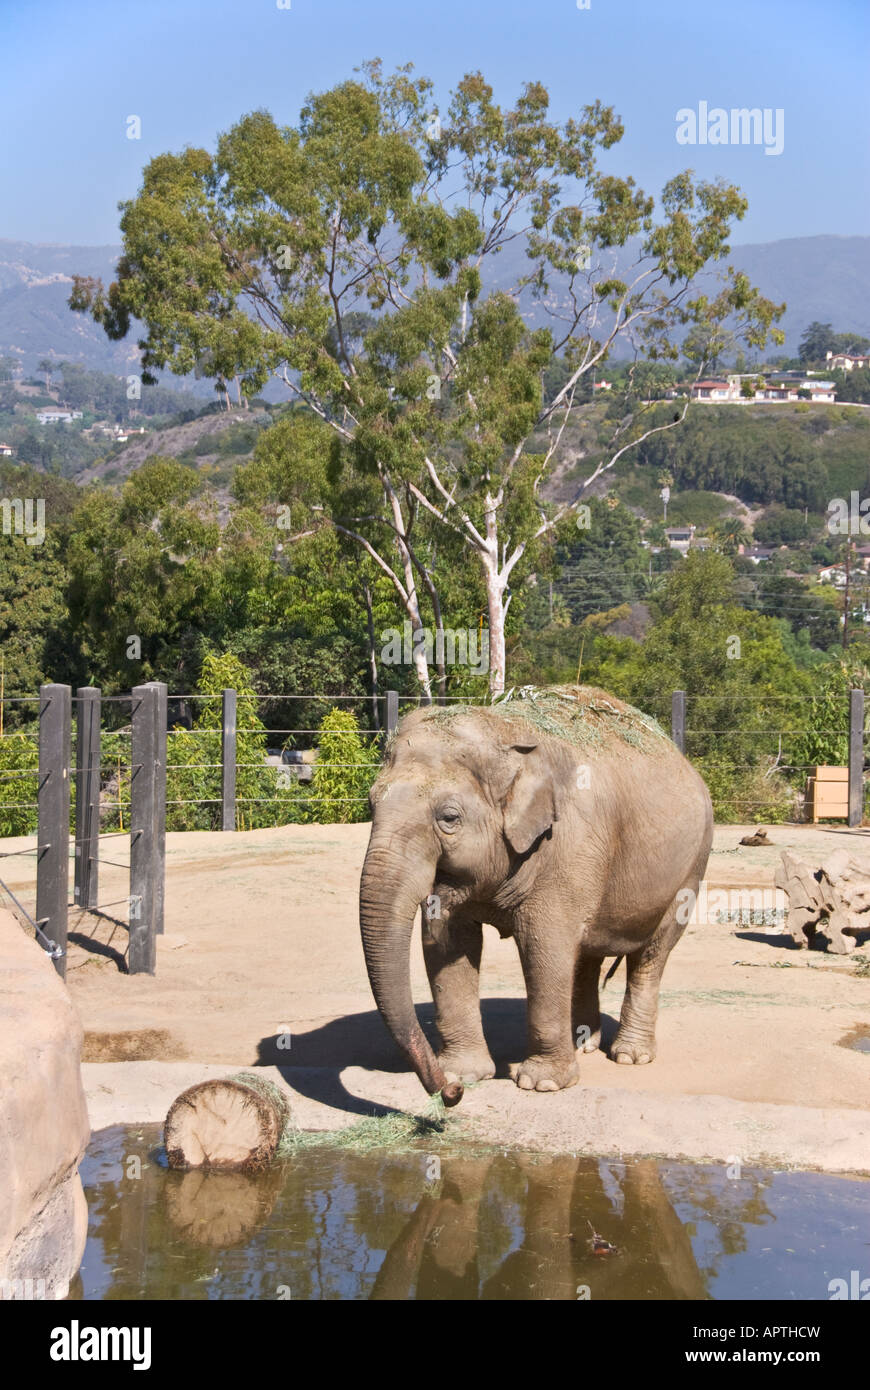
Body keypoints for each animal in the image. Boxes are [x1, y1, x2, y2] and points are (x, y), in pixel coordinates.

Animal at [358, 684, 713, 1106]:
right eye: (370, 804)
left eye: (449, 818)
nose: (450, 1094)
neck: (503, 729)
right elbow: (446, 944)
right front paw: (465, 1073)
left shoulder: (569, 845)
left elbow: (544, 945)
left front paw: (541, 1084)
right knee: (586, 953)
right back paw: (583, 1044)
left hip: (693, 863)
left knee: (651, 955)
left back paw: (630, 1056)